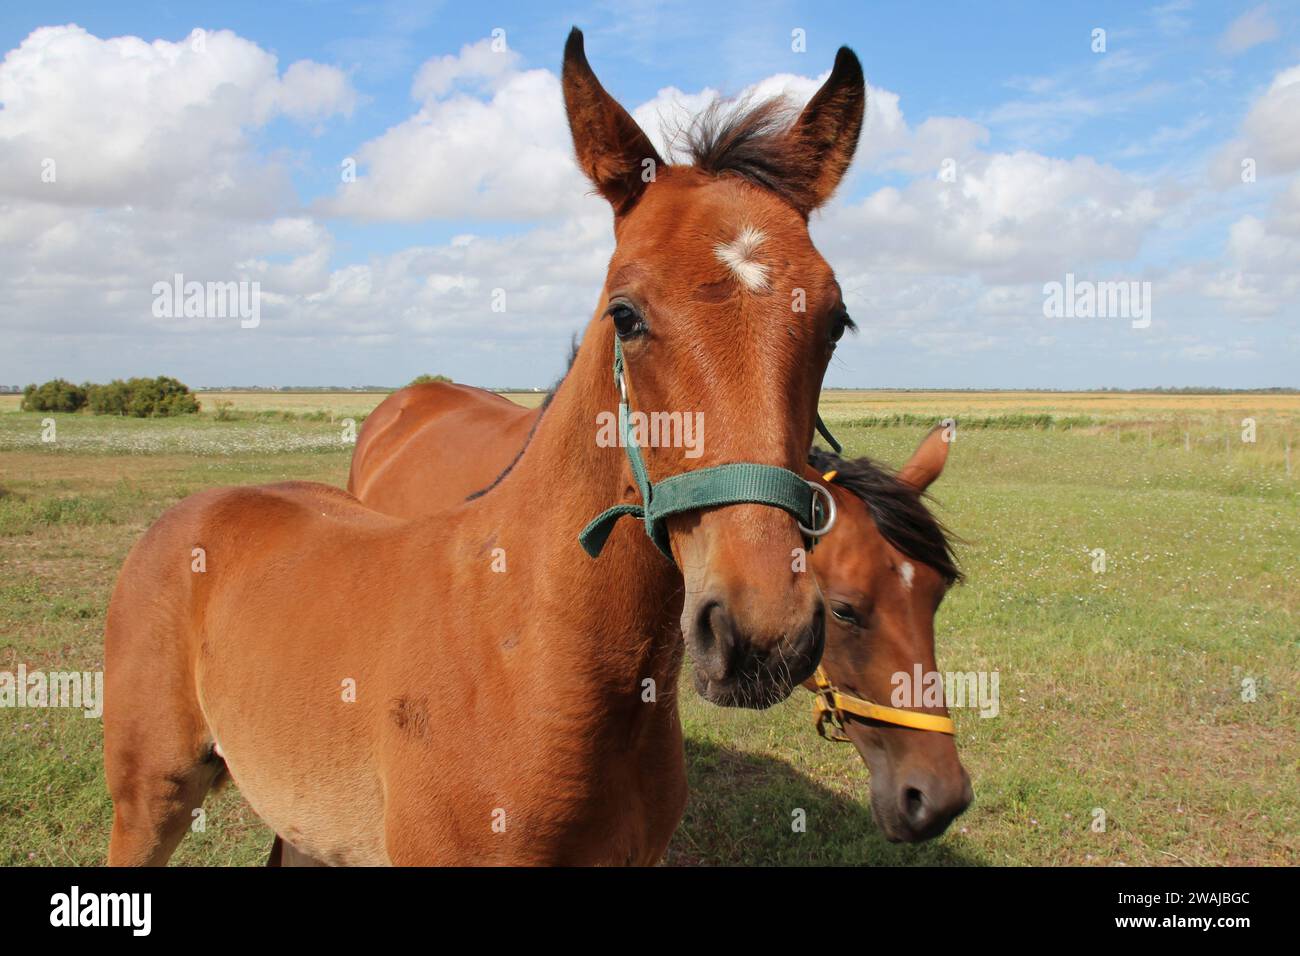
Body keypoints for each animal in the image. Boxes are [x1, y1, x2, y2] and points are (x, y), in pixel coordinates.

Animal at [103, 28, 867, 865]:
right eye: (625, 315)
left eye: (835, 322)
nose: (762, 634)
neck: (530, 660)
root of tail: (191, 512)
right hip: (149, 802)